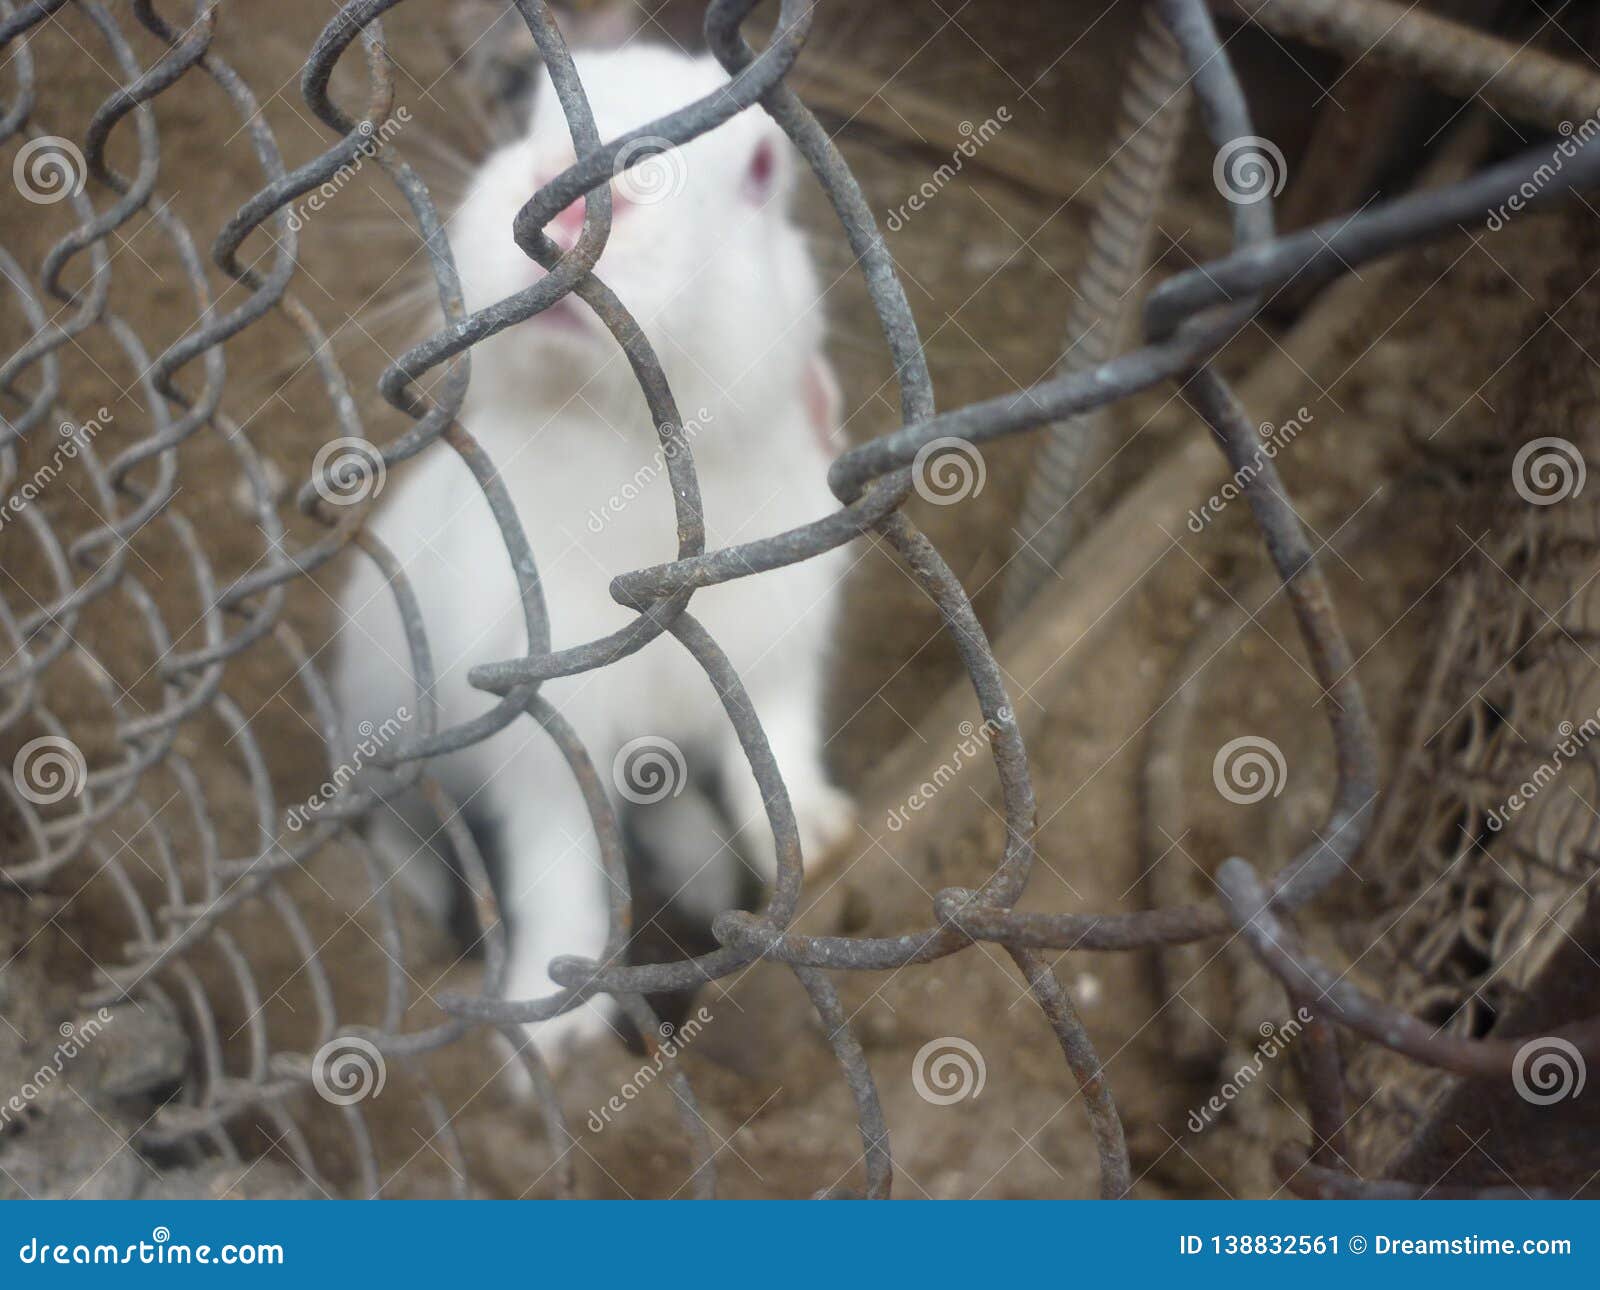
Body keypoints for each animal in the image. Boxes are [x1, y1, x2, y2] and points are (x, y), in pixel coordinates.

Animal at [333, 44, 856, 1066]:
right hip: (382, 713)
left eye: (763, 170)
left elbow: (775, 761)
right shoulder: (544, 735)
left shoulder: (778, 665)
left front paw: (818, 833)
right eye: (531, 109)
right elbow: (563, 872)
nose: (567, 208)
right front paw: (551, 1033)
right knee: (399, 823)